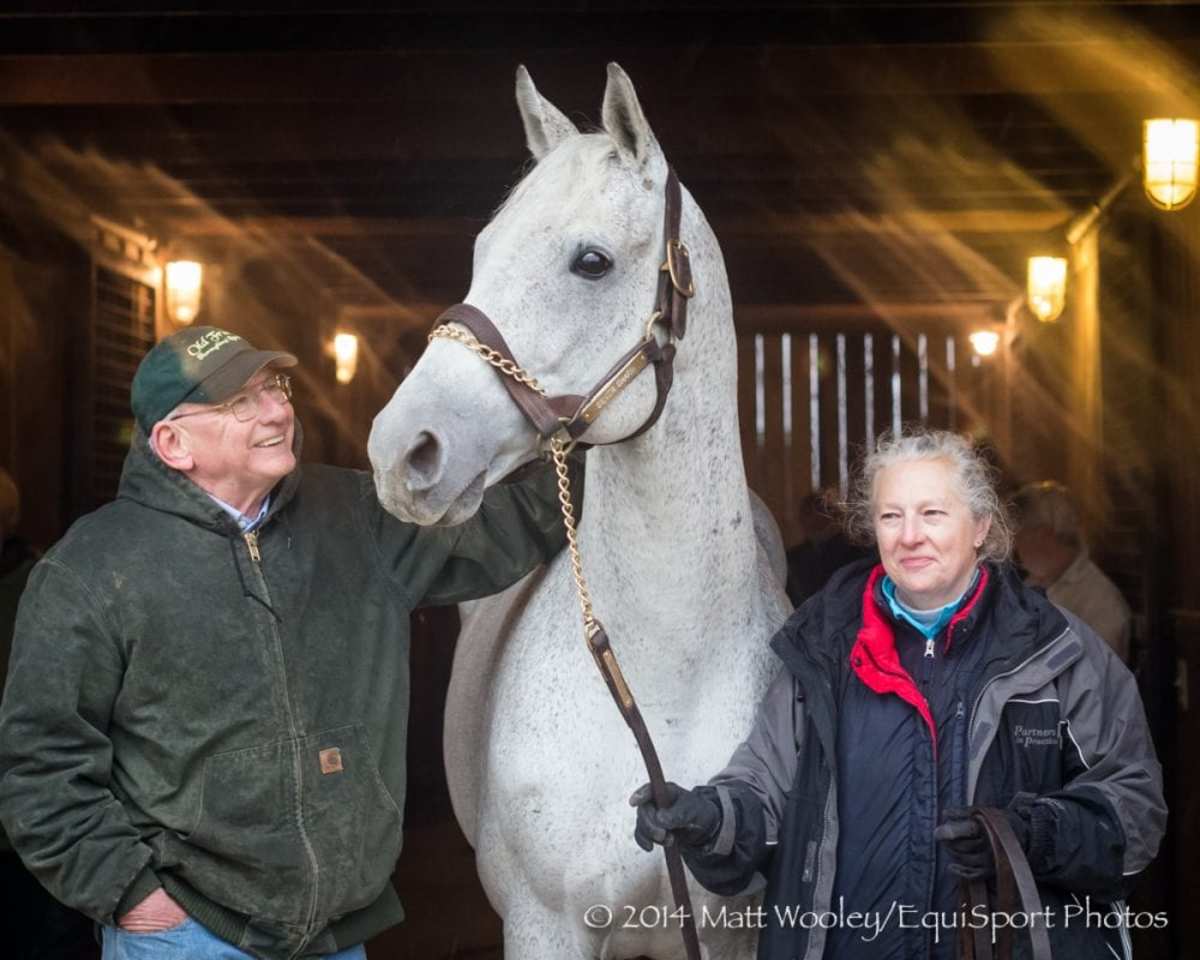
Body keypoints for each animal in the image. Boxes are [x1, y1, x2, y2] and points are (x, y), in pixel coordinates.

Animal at [368, 63, 791, 960]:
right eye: (480, 252)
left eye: (590, 262)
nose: (403, 449)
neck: (663, 684)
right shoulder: (544, 927)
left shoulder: (734, 932)